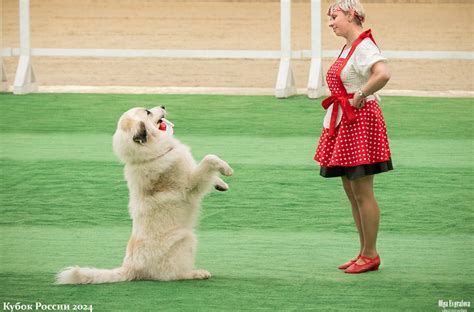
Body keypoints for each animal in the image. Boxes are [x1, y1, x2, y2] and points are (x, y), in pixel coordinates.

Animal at [56, 106, 233, 284]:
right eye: (147, 112)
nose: (163, 106)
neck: (151, 155)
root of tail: (130, 268)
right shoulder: (191, 184)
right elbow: (209, 159)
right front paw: (226, 169)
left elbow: (206, 168)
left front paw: (221, 184)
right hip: (187, 239)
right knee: (172, 275)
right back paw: (197, 273)